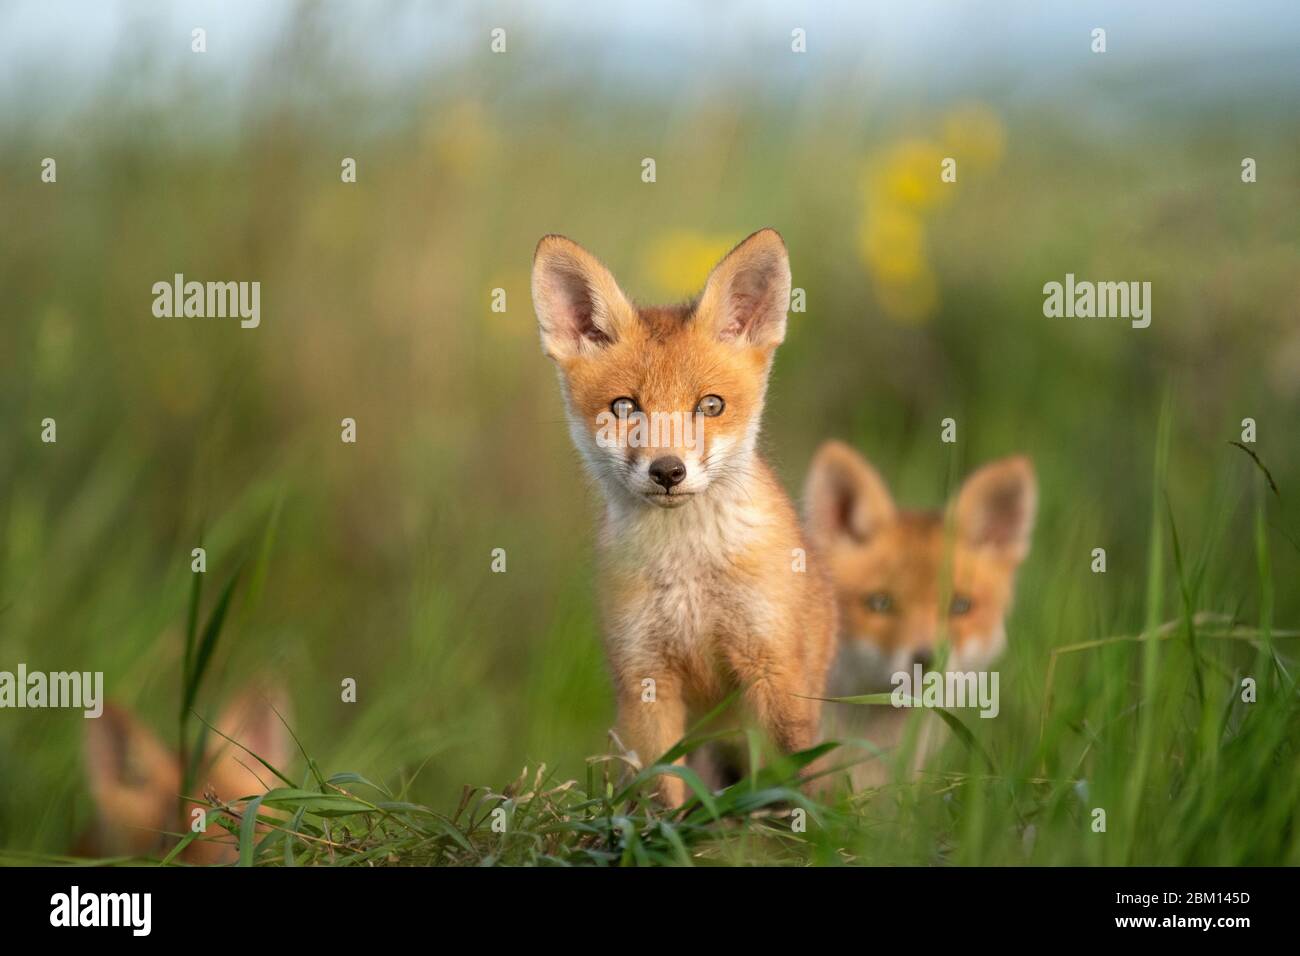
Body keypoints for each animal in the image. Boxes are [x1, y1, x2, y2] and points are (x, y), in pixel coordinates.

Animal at [530, 228, 837, 806]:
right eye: (625, 408)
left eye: (710, 406)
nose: (668, 471)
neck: (688, 570)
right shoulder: (645, 678)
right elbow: (659, 792)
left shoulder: (772, 668)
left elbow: (794, 777)